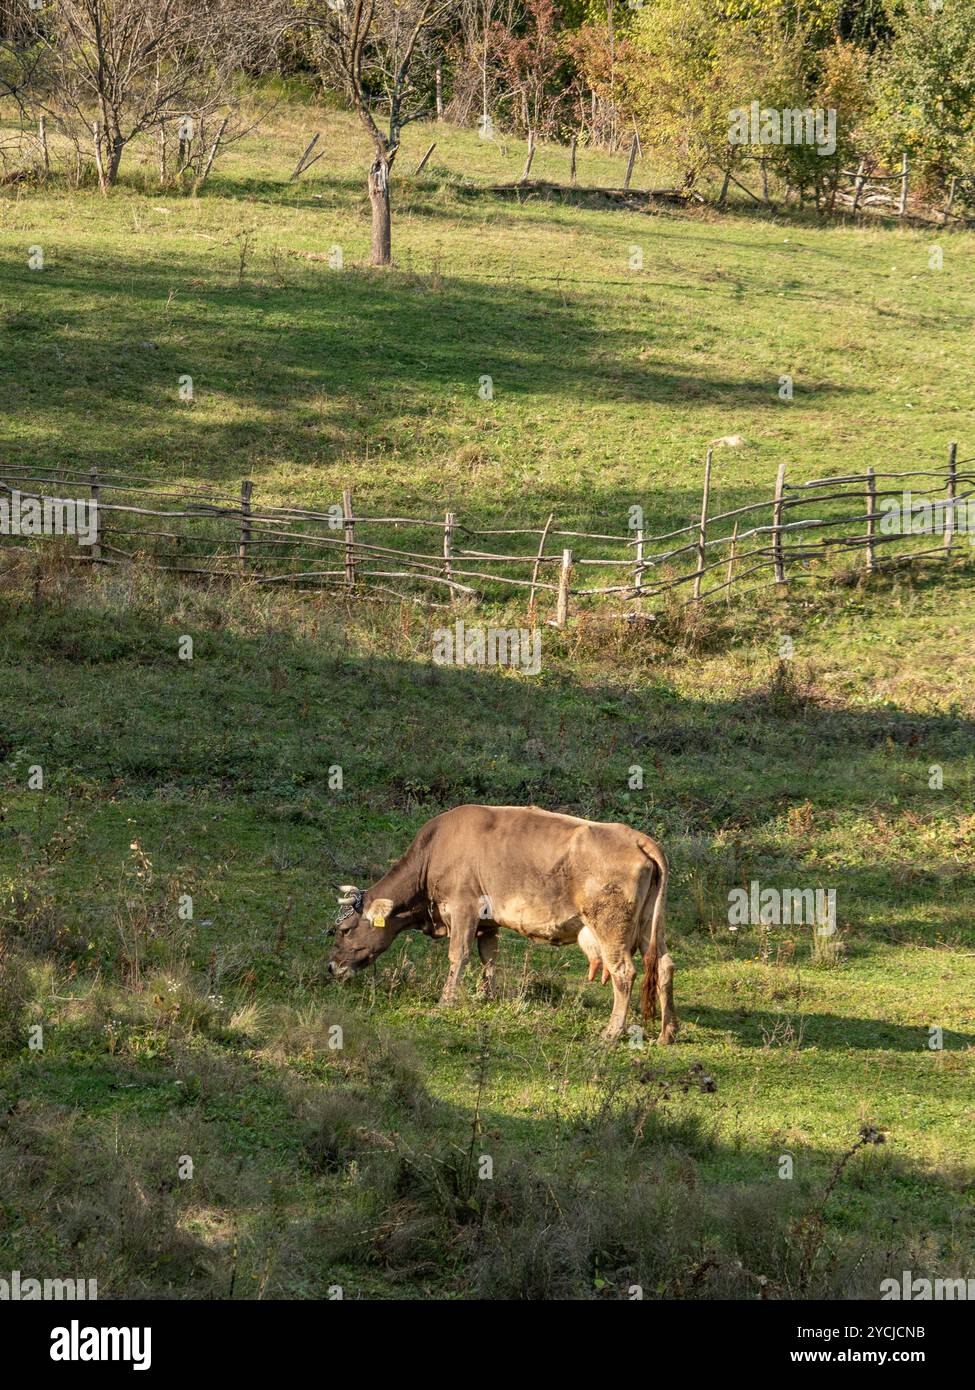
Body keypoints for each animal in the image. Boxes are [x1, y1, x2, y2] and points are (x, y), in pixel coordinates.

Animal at [326, 804, 675, 1045]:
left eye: (345, 930)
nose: (330, 967)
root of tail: (638, 838)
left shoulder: (464, 906)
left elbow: (459, 954)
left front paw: (446, 1000)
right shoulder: (487, 920)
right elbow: (489, 956)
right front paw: (486, 995)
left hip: (611, 925)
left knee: (623, 973)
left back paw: (612, 1032)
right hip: (648, 926)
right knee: (664, 965)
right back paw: (668, 1032)